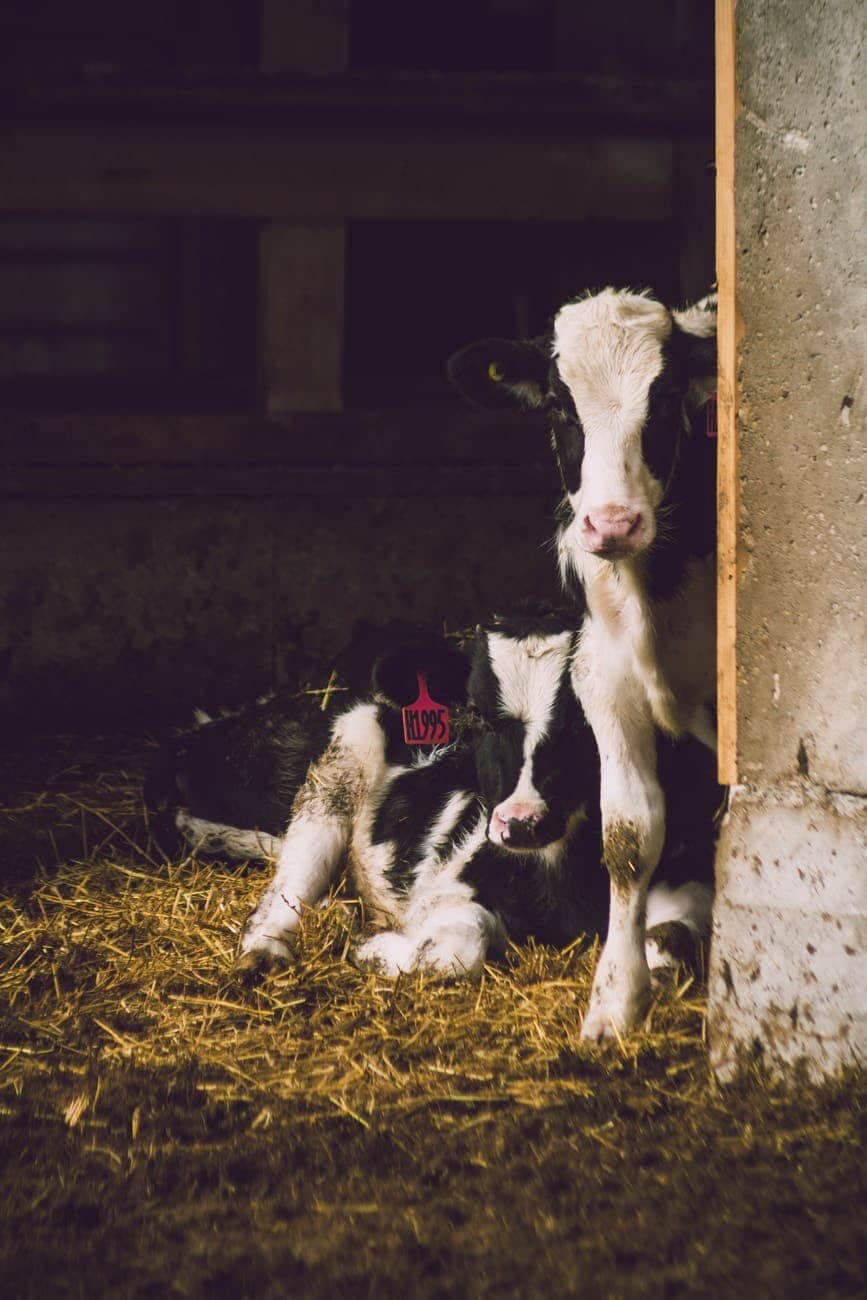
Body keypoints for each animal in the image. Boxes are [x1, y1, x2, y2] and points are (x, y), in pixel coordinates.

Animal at [161, 609, 717, 992]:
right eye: (477, 715)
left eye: (588, 721)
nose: (520, 823)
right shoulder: (446, 881)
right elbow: (448, 955)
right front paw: (374, 949)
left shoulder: (689, 871)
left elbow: (670, 948)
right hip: (340, 764)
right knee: (290, 884)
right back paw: (268, 951)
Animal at [447, 289, 718, 1038]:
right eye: (558, 407)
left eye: (667, 398)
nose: (613, 524)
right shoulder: (605, 679)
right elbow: (628, 836)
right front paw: (613, 1003)